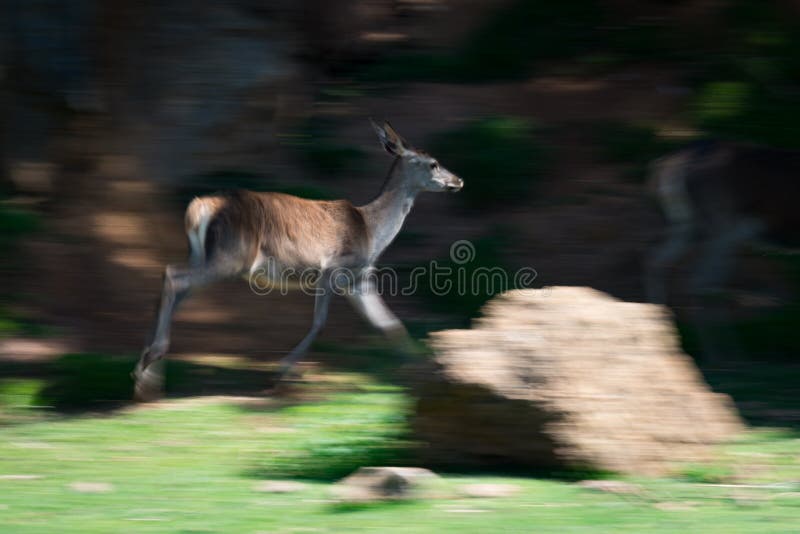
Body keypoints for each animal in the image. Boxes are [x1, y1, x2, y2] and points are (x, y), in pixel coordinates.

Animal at [132, 121, 463, 399]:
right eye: (433, 163)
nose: (458, 180)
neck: (371, 232)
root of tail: (199, 207)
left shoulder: (358, 279)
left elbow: (388, 323)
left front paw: (426, 374)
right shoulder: (332, 268)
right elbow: (320, 322)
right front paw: (281, 373)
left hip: (207, 255)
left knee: (175, 287)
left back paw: (146, 377)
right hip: (231, 256)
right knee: (172, 275)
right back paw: (151, 360)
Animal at [644, 139, 800, 359]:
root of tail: (667, 164)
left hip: (686, 226)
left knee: (658, 261)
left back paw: (661, 330)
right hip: (720, 225)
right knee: (702, 281)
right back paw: (724, 354)